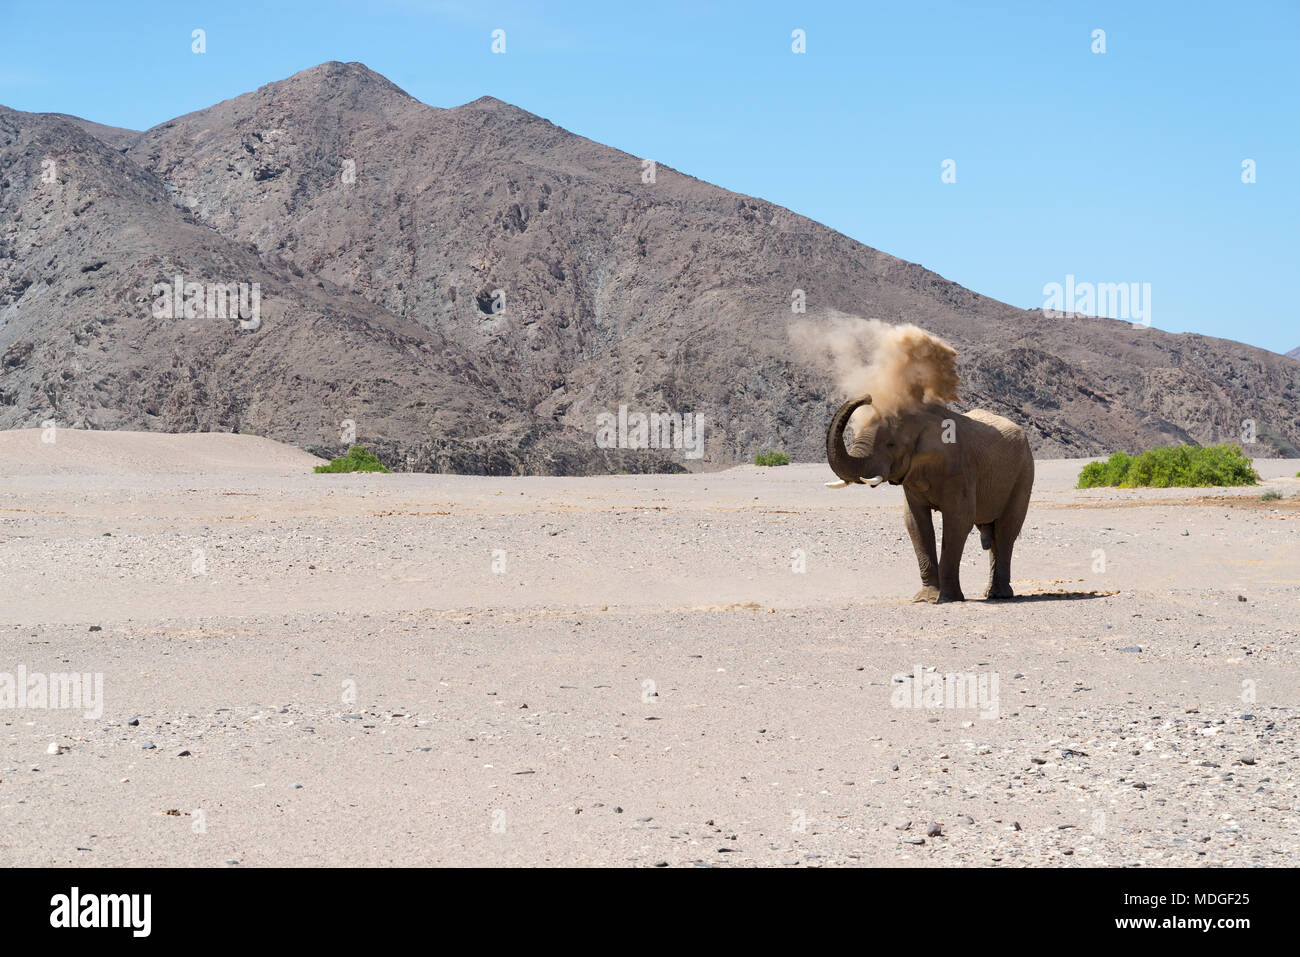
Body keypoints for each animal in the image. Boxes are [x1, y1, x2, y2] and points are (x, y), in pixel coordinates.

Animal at [825, 395, 1034, 603]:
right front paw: (925, 599)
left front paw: (948, 598)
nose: (867, 398)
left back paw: (999, 595)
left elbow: (958, 521)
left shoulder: (960, 471)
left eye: (891, 444)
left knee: (1006, 530)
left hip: (1024, 473)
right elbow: (915, 522)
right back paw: (989, 593)